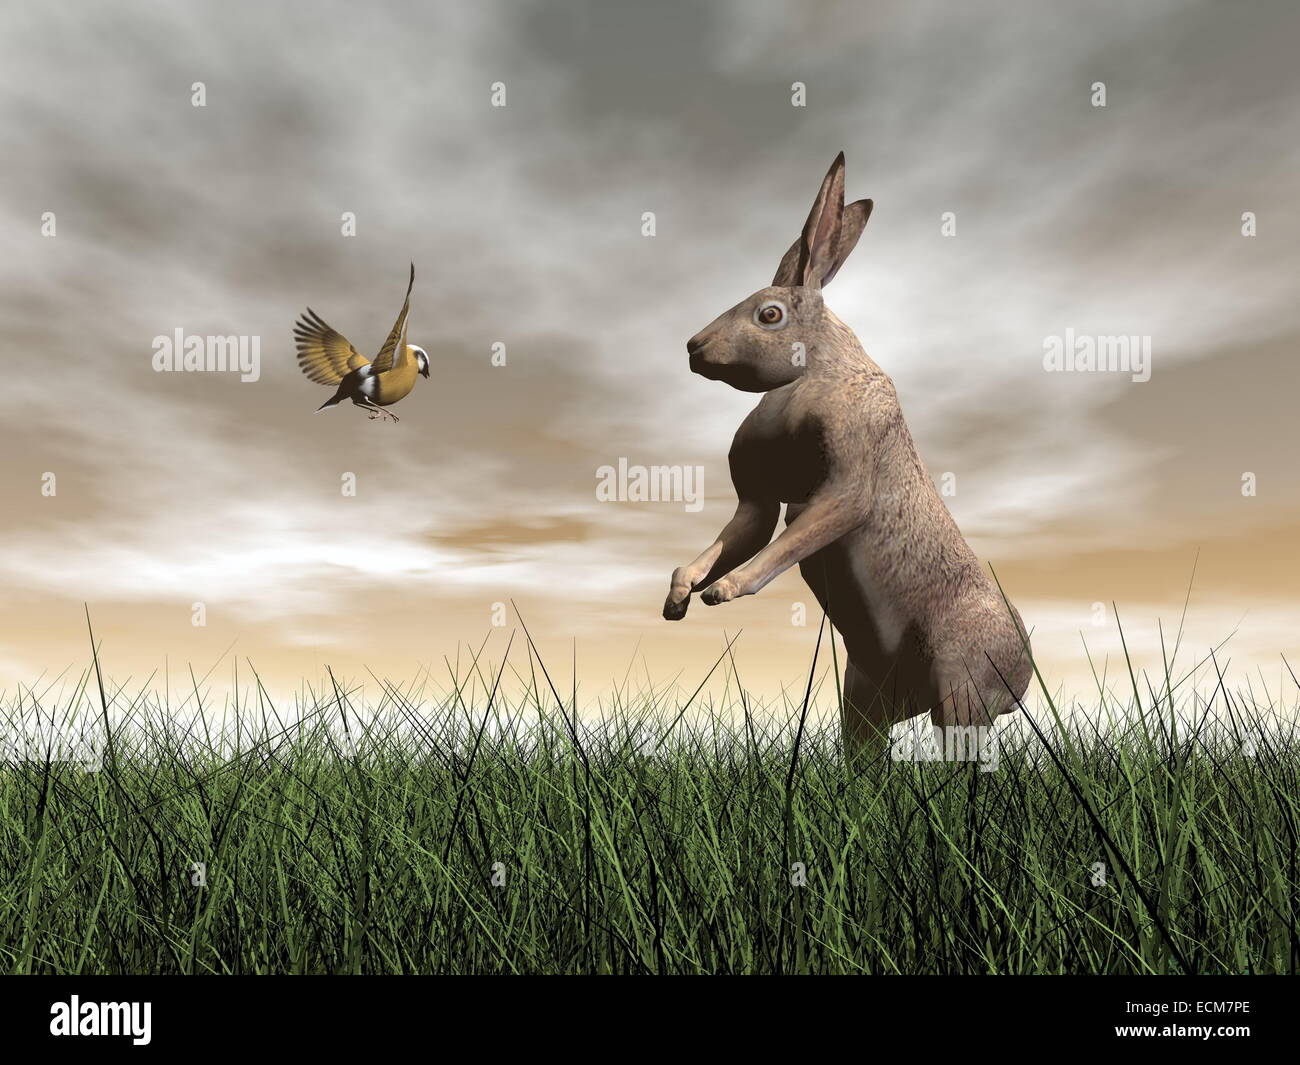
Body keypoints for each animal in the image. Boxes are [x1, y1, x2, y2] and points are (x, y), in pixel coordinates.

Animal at [662, 152, 1032, 759]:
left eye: (769, 315)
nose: (693, 348)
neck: (810, 373)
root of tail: (1024, 669)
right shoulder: (758, 503)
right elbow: (738, 535)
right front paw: (679, 595)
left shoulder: (845, 488)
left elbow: (796, 536)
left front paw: (723, 590)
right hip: (862, 692)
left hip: (960, 685)